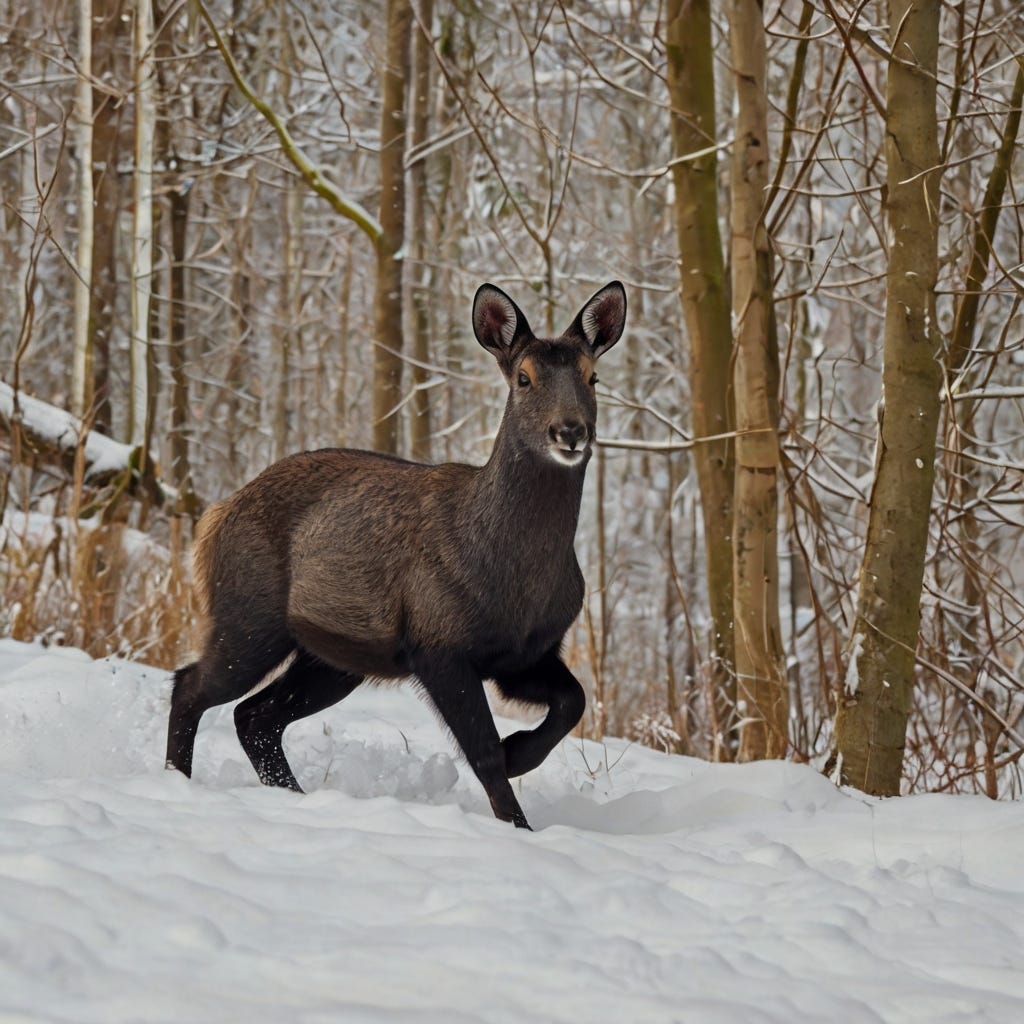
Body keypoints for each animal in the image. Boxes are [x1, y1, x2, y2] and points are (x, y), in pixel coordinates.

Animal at [165, 280, 627, 829]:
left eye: (593, 376)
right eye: (524, 378)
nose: (570, 431)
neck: (516, 581)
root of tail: (214, 517)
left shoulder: (527, 653)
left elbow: (573, 701)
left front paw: (521, 752)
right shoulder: (438, 644)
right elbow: (485, 753)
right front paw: (518, 816)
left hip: (331, 656)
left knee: (253, 715)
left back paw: (295, 797)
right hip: (249, 616)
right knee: (191, 684)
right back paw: (176, 782)